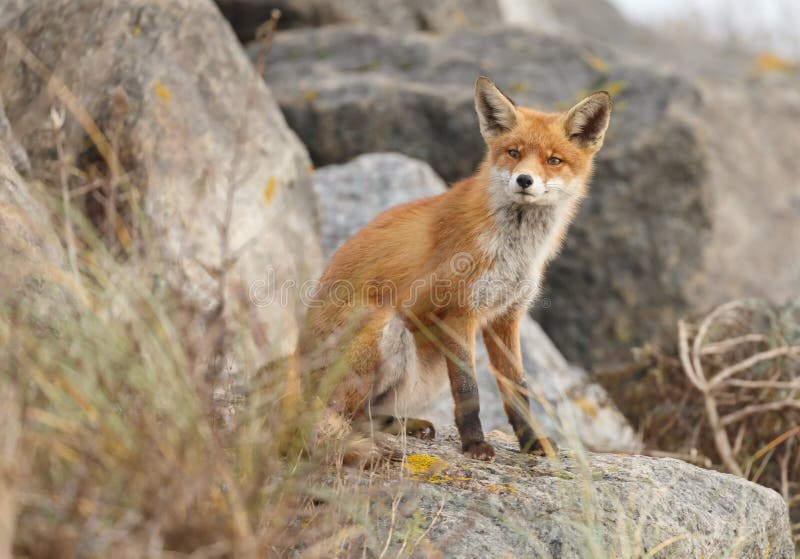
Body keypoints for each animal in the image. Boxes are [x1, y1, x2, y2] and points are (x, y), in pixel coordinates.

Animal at [293, 77, 612, 461]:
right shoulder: (459, 313)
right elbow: (468, 390)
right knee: (341, 417)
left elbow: (517, 390)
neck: (515, 251)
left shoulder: (506, 317)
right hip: (384, 327)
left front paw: (533, 443)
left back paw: (404, 425)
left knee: (368, 414)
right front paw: (475, 443)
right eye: (513, 152)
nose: (524, 180)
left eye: (554, 160)